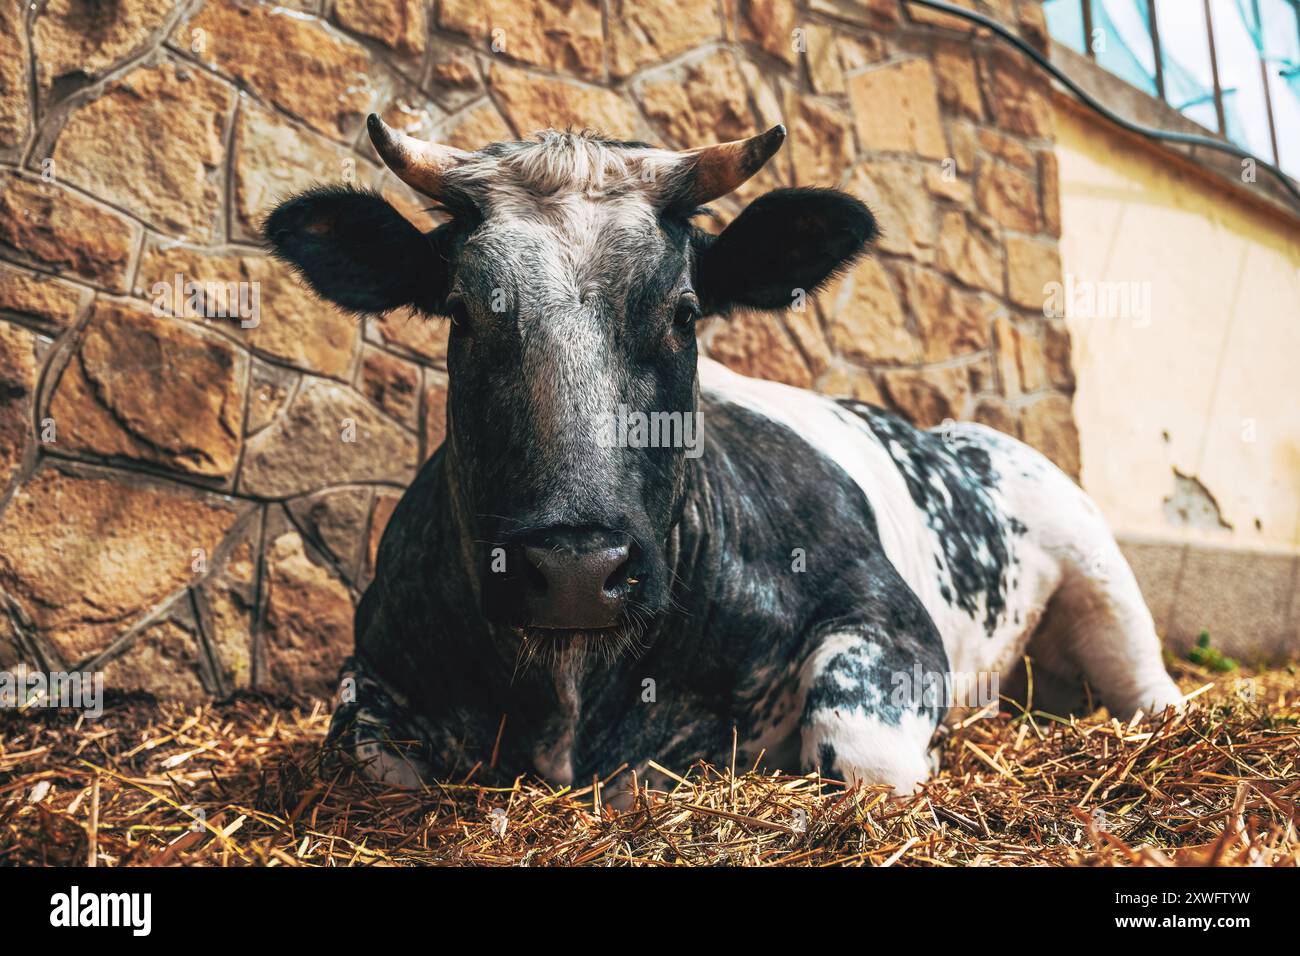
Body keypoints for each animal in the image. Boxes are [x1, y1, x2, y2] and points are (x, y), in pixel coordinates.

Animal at [264, 115, 1181, 795]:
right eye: (460, 309)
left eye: (684, 310)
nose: (575, 568)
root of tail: (960, 433)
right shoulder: (374, 666)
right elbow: (374, 762)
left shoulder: (889, 616)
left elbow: (866, 760)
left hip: (1102, 576)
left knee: (1150, 691)